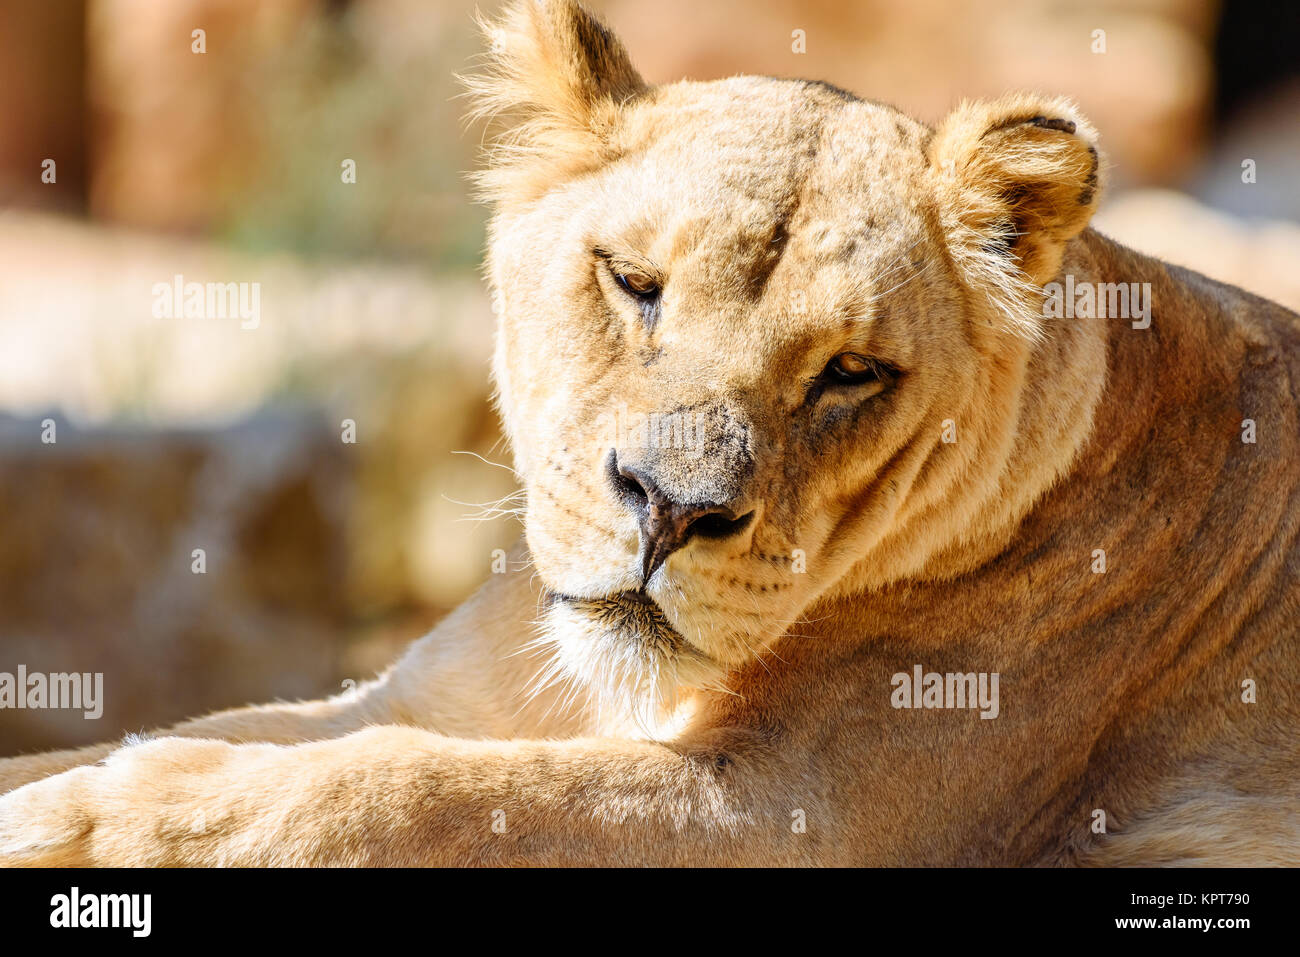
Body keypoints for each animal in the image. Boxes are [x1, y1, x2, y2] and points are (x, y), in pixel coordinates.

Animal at [1, 0, 1297, 867]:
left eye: (851, 373)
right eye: (633, 282)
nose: (670, 511)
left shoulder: (794, 812)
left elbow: (412, 797)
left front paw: (97, 827)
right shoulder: (430, 696)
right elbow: (266, 740)